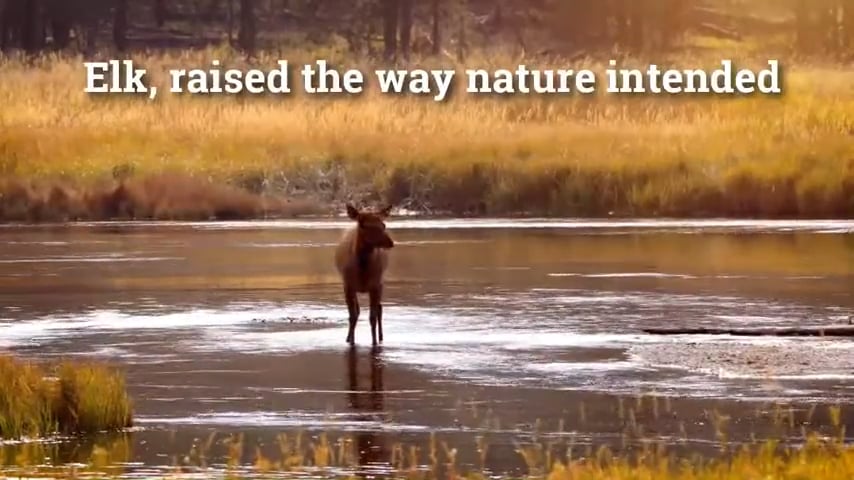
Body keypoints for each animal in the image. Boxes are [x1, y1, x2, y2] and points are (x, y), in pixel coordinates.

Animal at [334, 203, 395, 345]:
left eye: (383, 225)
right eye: (362, 224)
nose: (390, 242)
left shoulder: (376, 285)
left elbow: (372, 316)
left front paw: (374, 342)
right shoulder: (348, 285)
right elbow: (352, 315)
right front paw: (351, 341)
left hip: (381, 282)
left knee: (379, 309)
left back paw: (381, 337)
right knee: (358, 311)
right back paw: (349, 337)